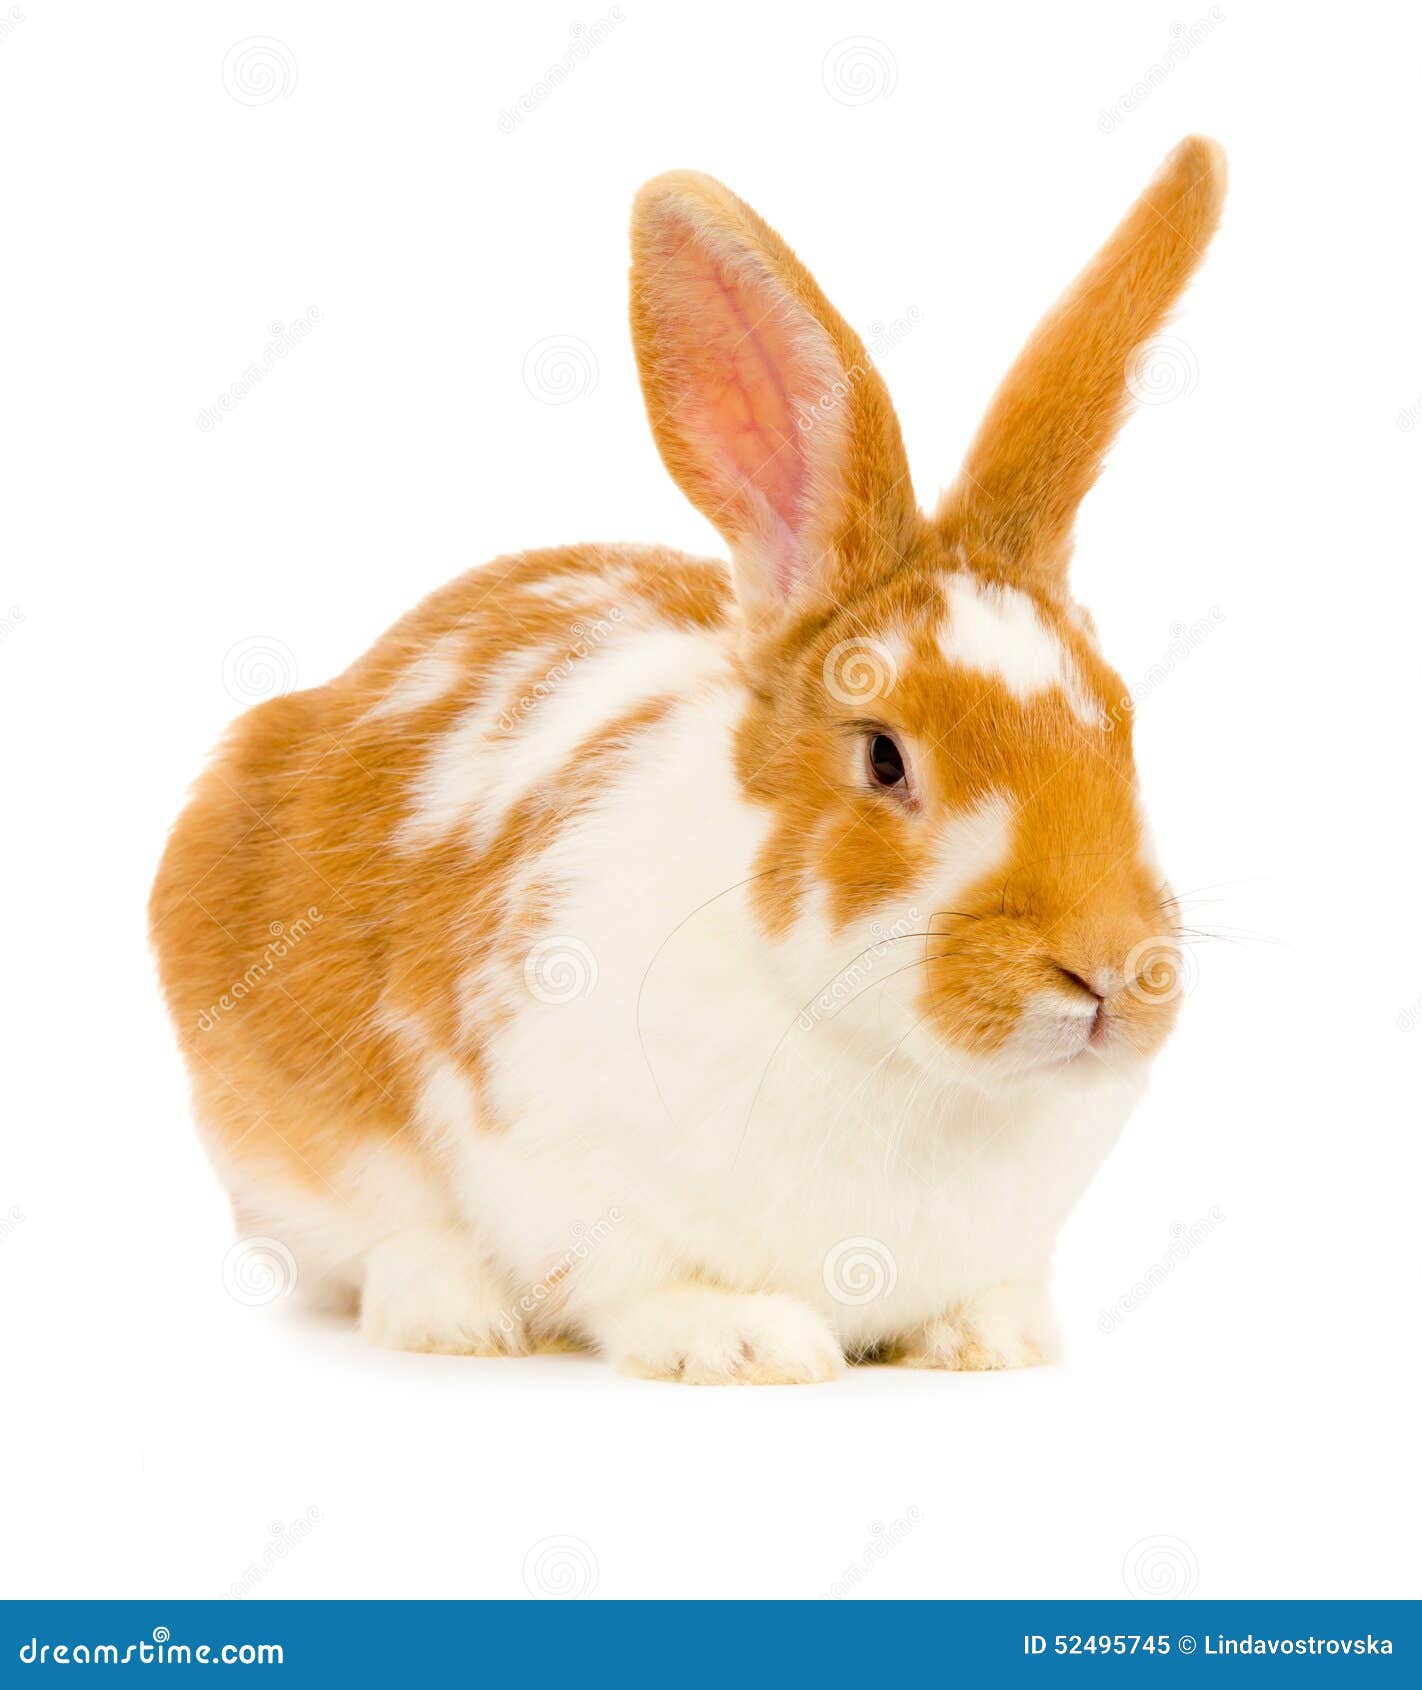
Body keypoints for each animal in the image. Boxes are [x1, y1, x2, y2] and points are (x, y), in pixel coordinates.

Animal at [150, 136, 1225, 1383]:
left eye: (1124, 722)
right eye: (886, 759)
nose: (1109, 970)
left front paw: (988, 1339)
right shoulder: (557, 1160)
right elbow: (640, 1281)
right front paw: (746, 1341)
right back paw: (459, 1312)